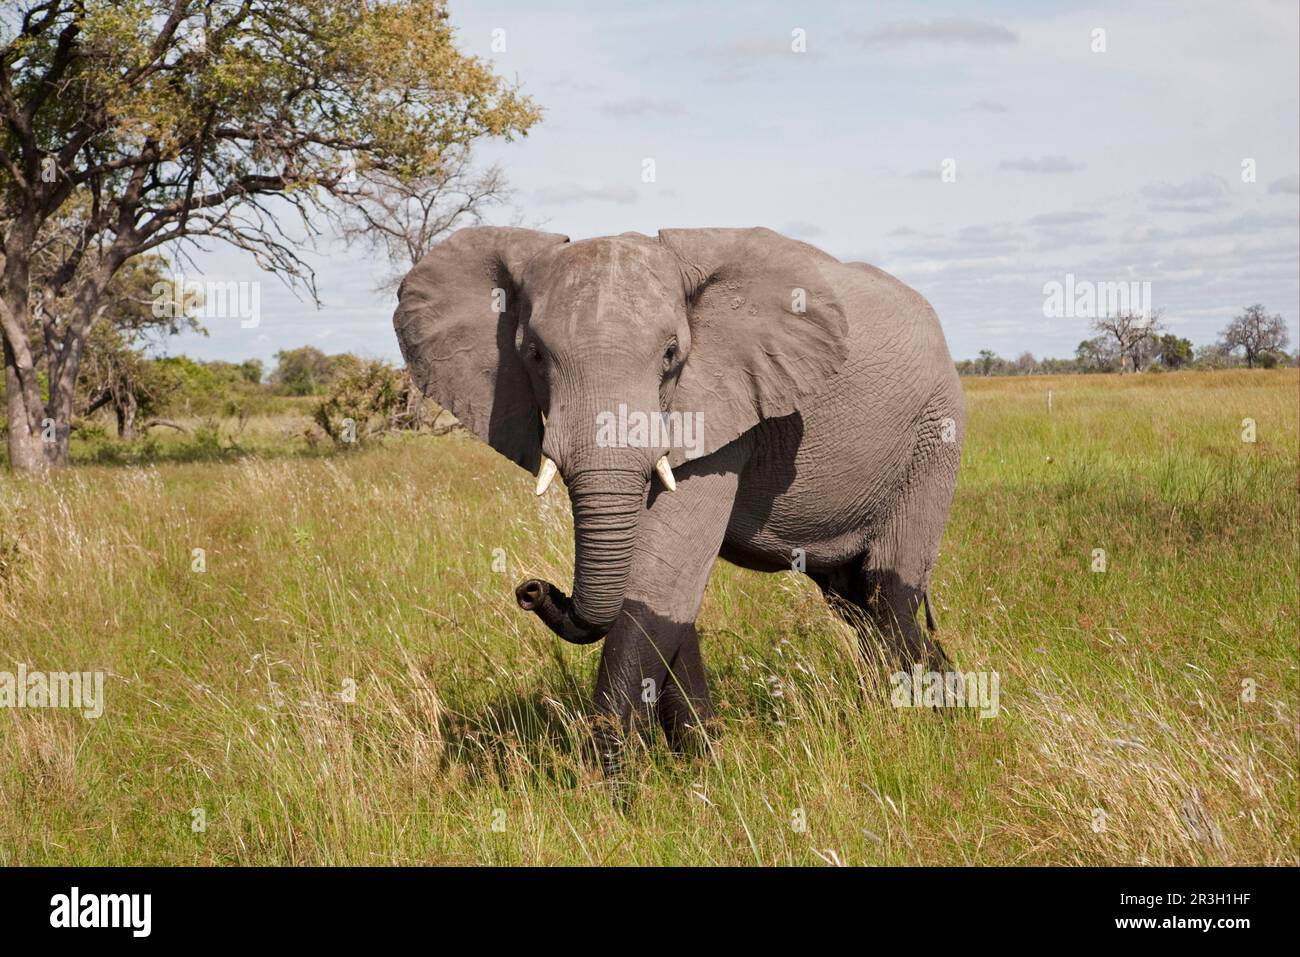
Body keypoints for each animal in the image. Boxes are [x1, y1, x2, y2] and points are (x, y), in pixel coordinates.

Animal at [393, 226, 964, 778]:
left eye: (671, 355)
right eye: (533, 355)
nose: (530, 589)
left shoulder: (722, 403)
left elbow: (660, 579)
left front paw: (614, 794)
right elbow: (666, 590)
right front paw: (704, 766)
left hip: (934, 438)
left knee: (888, 593)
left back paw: (933, 720)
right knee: (852, 600)